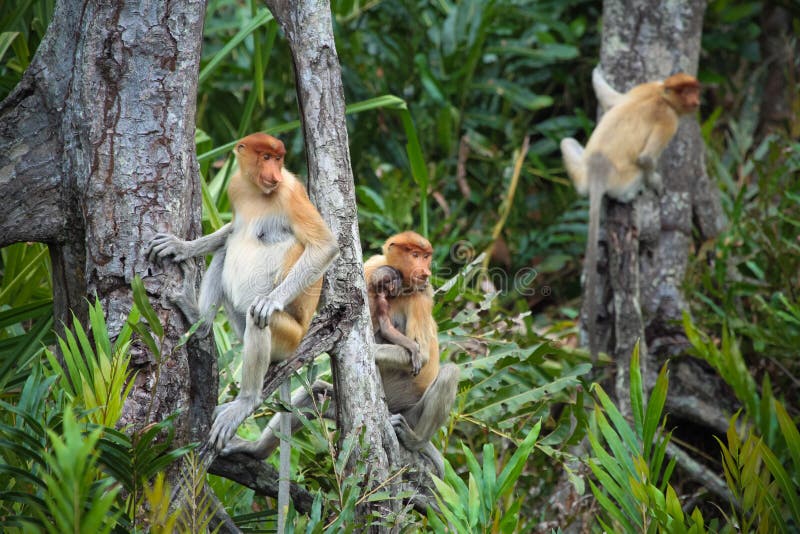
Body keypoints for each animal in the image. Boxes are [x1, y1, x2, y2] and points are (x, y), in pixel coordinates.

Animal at [146, 132, 339, 451]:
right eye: (266, 157)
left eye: (278, 159)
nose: (274, 174)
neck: (257, 192)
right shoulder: (236, 187)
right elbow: (231, 230)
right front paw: (181, 246)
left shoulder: (290, 193)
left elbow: (325, 245)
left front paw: (269, 302)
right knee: (225, 250)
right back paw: (199, 320)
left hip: (288, 336)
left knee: (256, 318)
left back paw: (246, 401)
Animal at [221, 231, 460, 478]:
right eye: (415, 255)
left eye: (426, 256)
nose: (425, 271)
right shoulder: (374, 267)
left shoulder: (422, 294)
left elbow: (421, 355)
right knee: (314, 393)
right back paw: (256, 449)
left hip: (410, 415)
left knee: (450, 372)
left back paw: (415, 440)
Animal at [560, 69, 701, 360]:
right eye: (687, 92)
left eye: (695, 89)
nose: (696, 101)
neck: (661, 95)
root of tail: (597, 172)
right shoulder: (668, 120)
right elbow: (646, 159)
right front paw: (657, 182)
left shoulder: (642, 88)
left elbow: (611, 98)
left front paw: (597, 73)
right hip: (625, 179)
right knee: (636, 171)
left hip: (579, 169)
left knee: (565, 141)